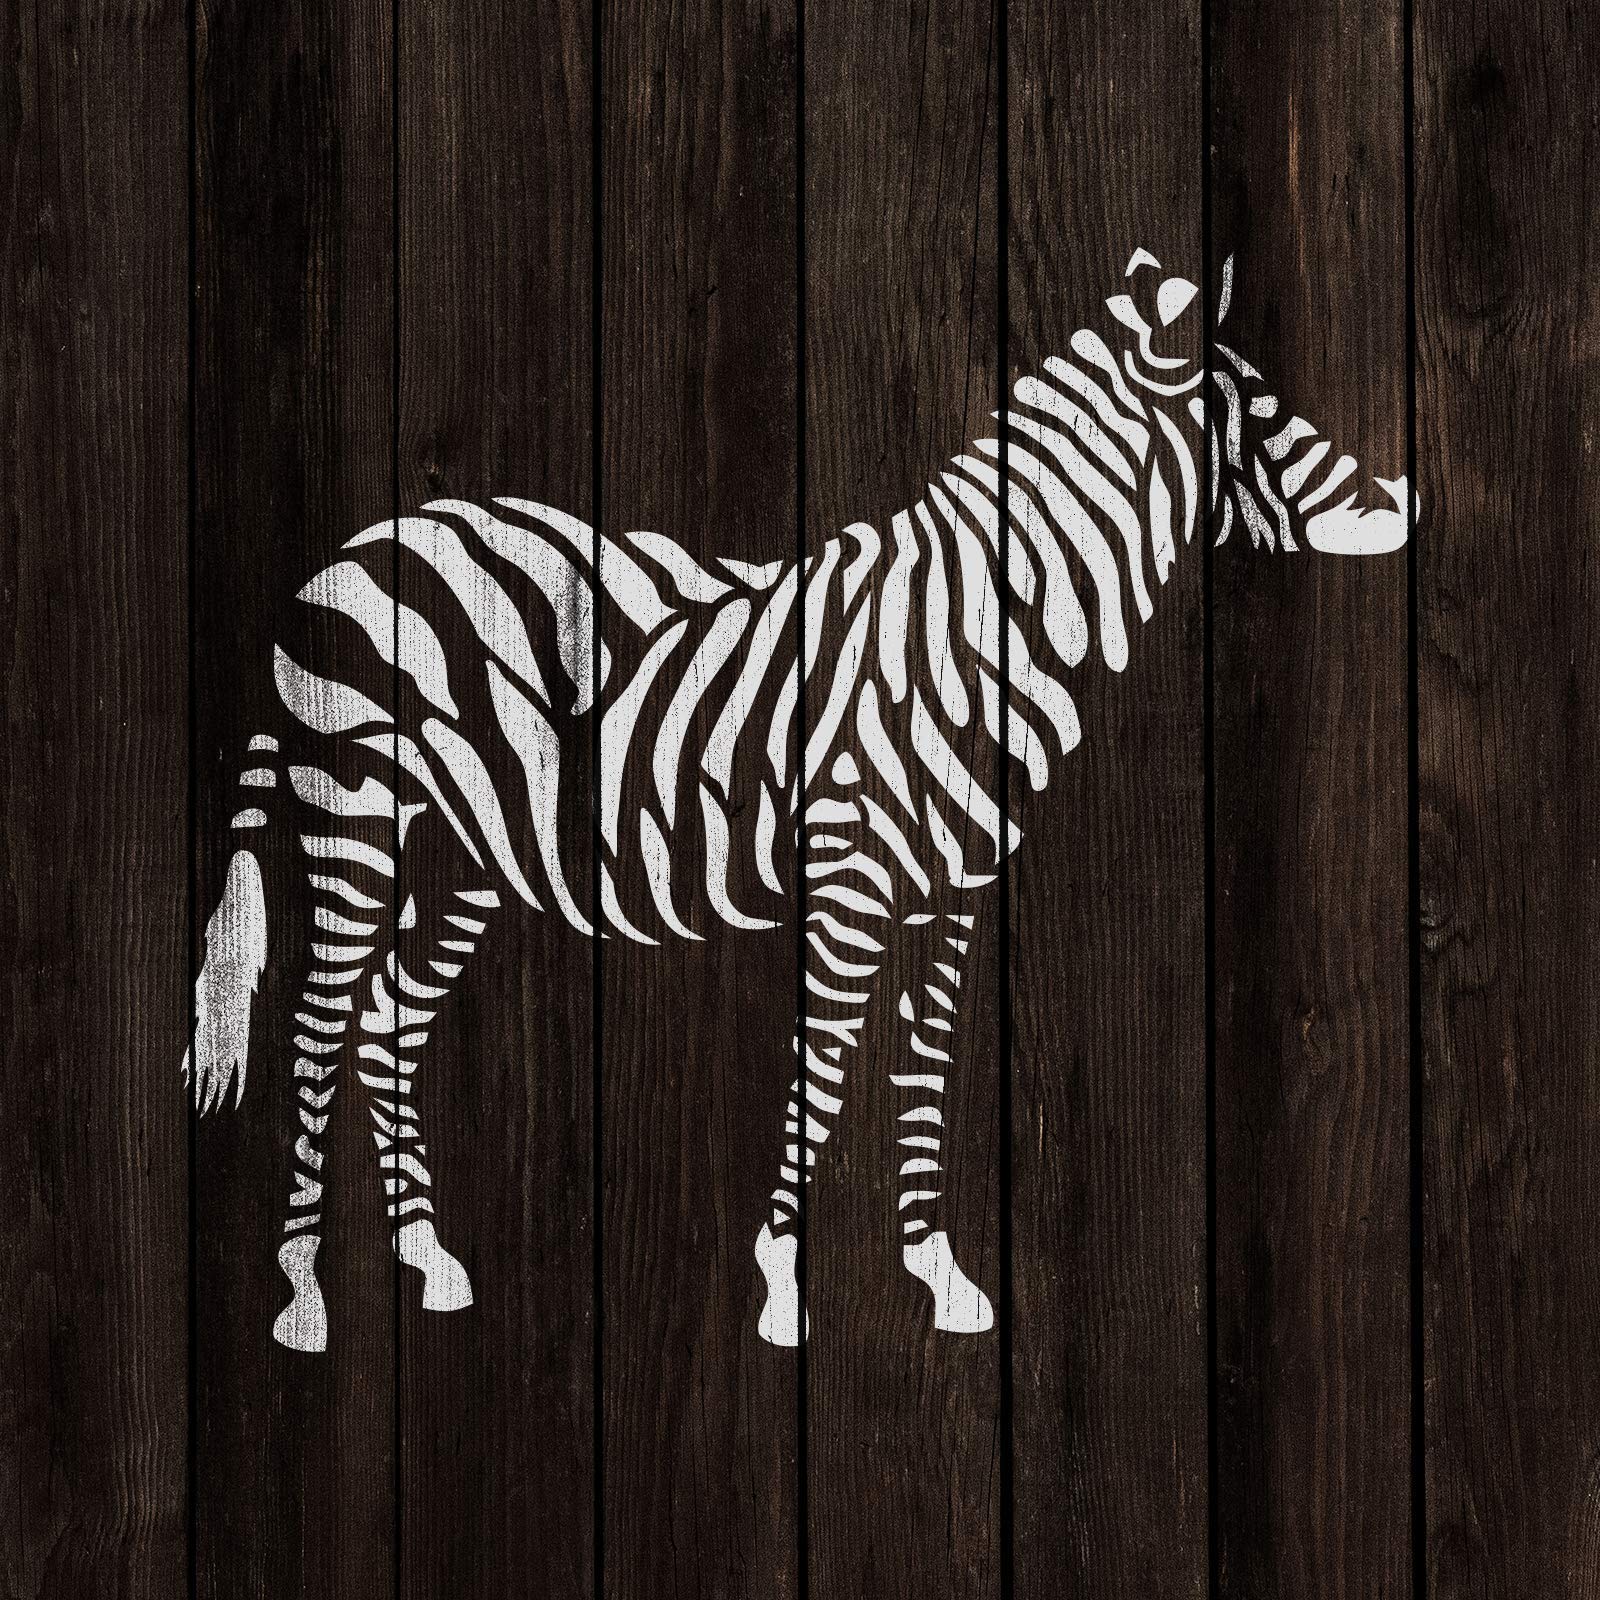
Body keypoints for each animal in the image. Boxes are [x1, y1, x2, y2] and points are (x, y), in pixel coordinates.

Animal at [182, 247, 1412, 1354]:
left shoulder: (953, 892)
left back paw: (428, 1255)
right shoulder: (851, 881)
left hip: (461, 857)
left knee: (390, 1019)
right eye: (1261, 409)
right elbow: (821, 1073)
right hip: (354, 817)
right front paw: (783, 1287)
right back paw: (302, 1294)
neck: (970, 641)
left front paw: (940, 1276)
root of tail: (344, 552)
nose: (1404, 503)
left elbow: (923, 1070)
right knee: (317, 1024)